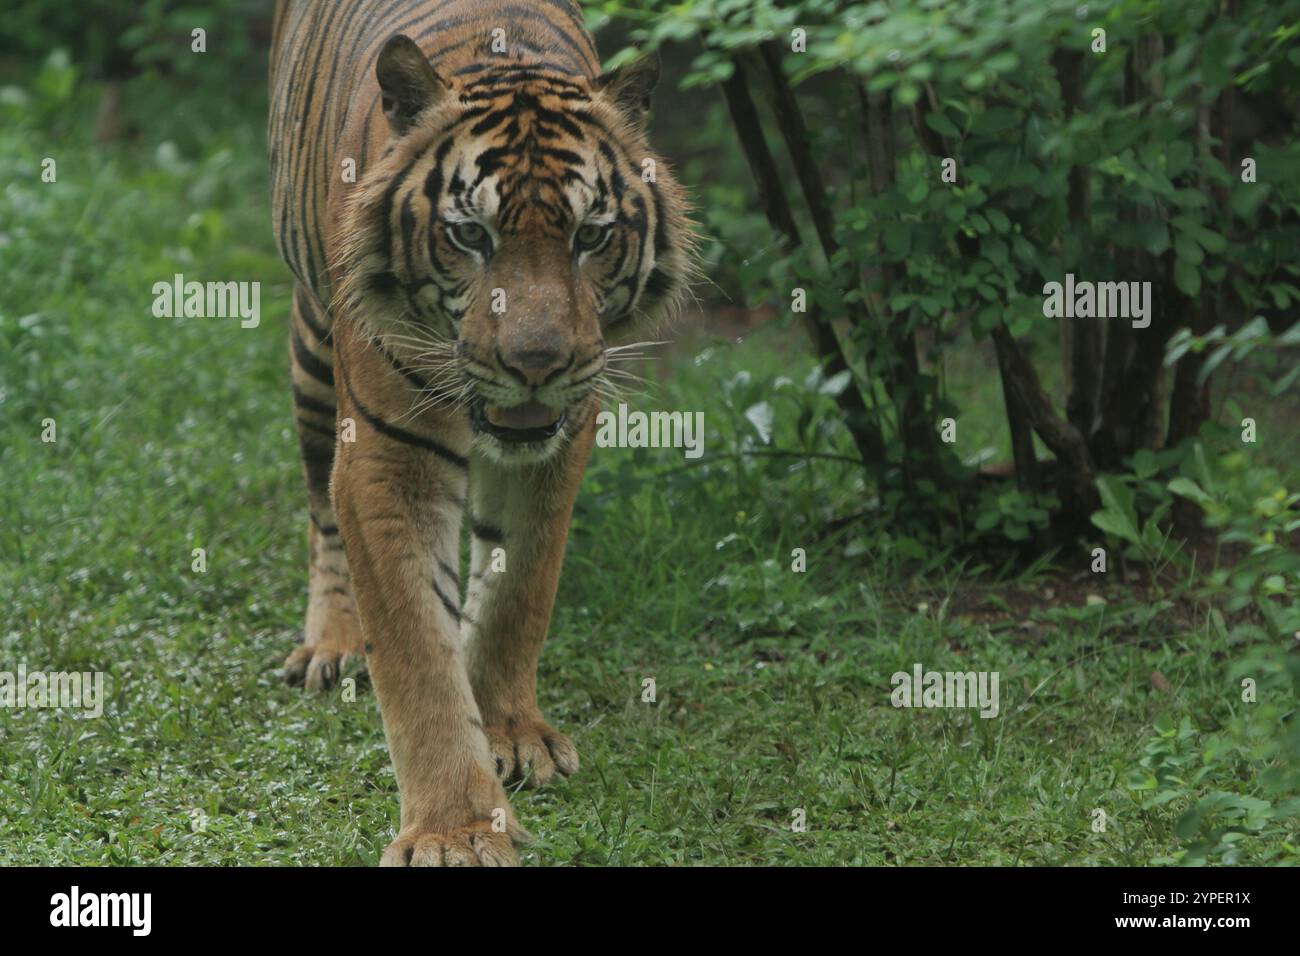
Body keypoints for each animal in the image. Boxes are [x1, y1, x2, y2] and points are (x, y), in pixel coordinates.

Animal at [267, 0, 694, 866]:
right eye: (471, 236)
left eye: (591, 237)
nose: (536, 363)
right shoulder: (387, 458)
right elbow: (416, 652)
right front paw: (454, 829)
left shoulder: (560, 442)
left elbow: (517, 592)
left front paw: (510, 732)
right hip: (313, 347)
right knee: (321, 510)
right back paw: (331, 644)